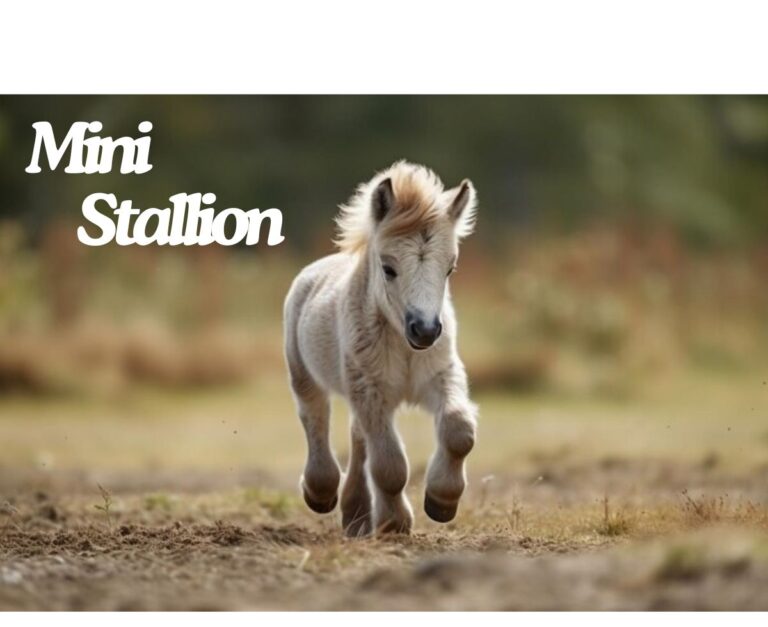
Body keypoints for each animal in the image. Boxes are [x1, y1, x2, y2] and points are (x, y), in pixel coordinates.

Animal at [283, 161, 478, 536]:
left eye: (450, 268)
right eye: (388, 268)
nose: (425, 330)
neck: (404, 347)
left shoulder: (441, 375)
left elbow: (459, 430)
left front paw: (441, 502)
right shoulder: (370, 390)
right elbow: (390, 466)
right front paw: (395, 523)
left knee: (358, 439)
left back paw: (357, 515)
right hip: (306, 374)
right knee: (315, 417)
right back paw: (322, 493)